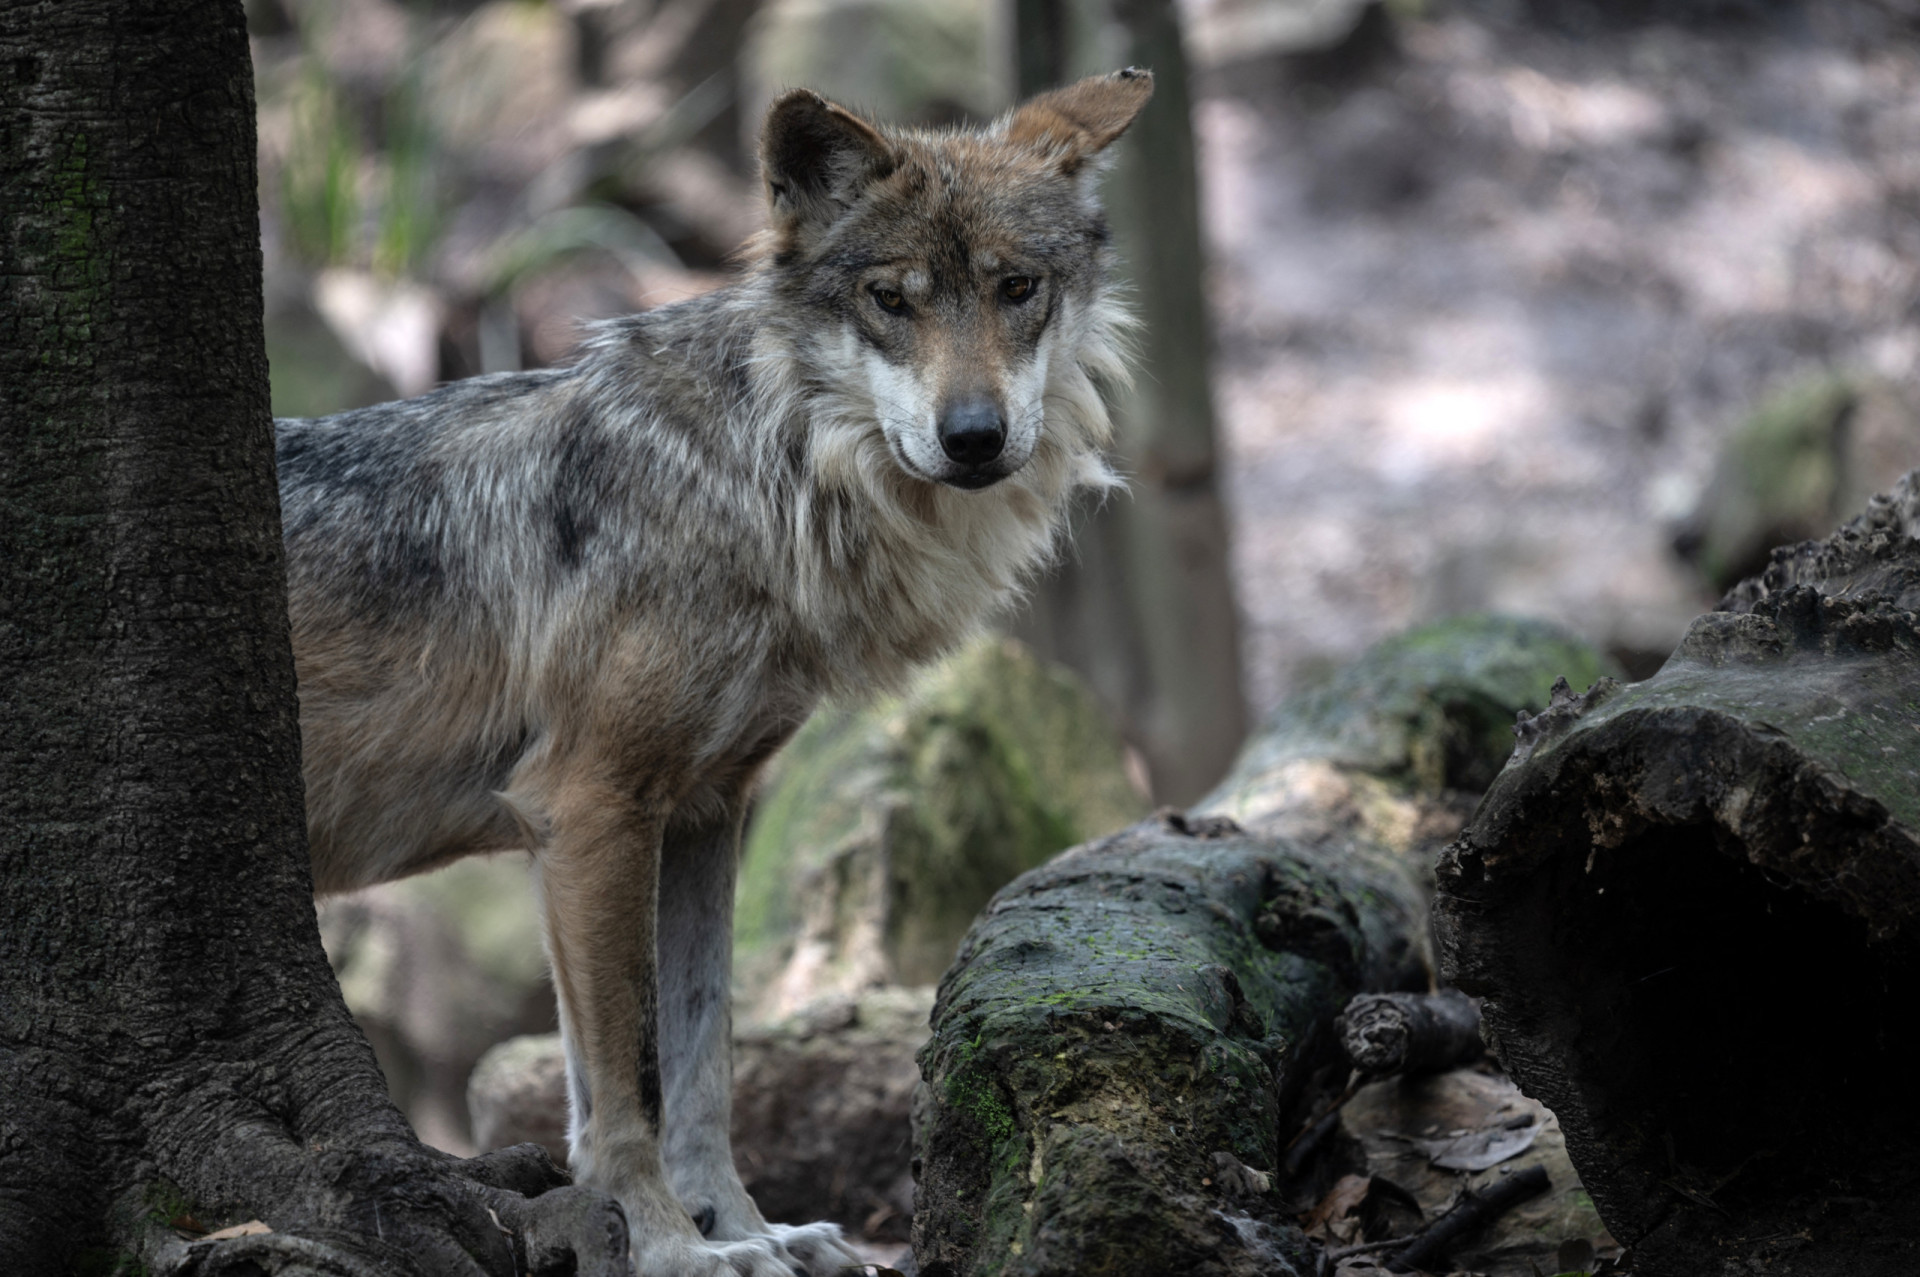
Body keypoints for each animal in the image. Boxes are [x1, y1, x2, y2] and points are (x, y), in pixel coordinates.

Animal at [276, 69, 1153, 1276]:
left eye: (1017, 287)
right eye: (892, 299)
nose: (973, 436)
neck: (761, 473)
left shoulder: (704, 808)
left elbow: (703, 1057)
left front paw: (747, 1228)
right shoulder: (591, 808)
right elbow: (625, 1076)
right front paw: (664, 1242)